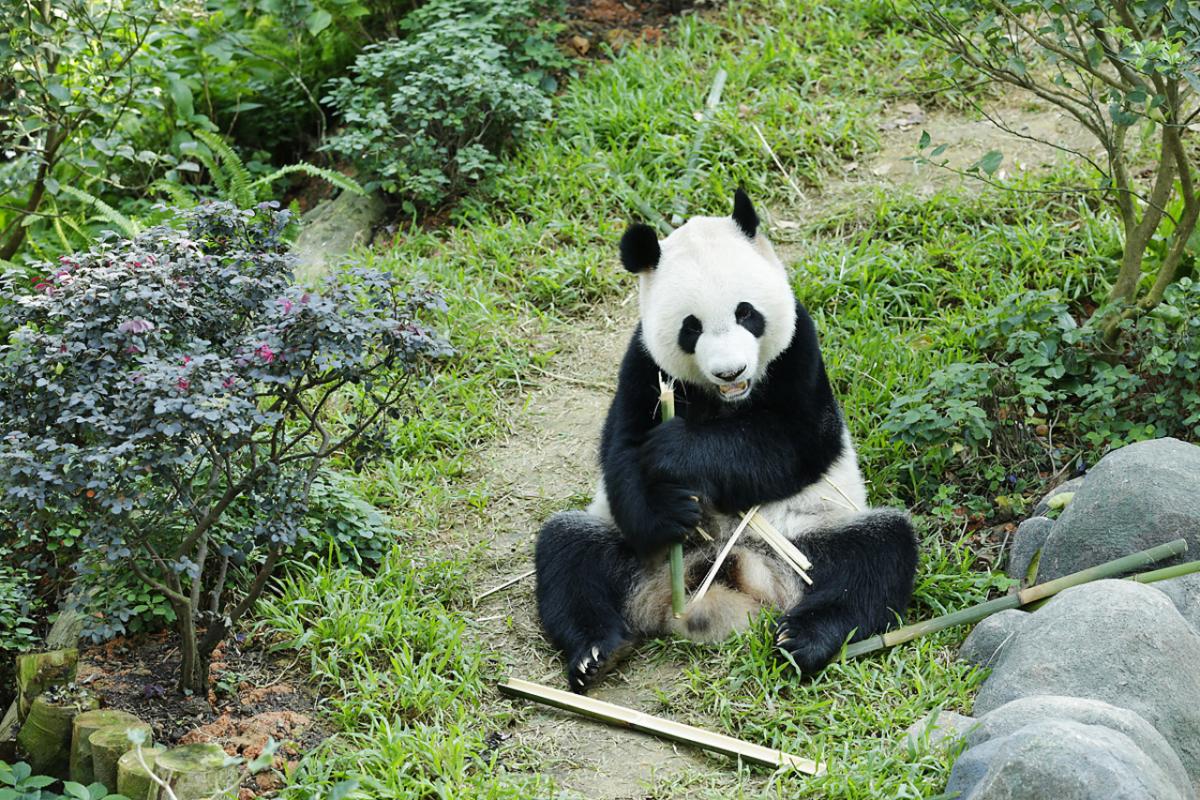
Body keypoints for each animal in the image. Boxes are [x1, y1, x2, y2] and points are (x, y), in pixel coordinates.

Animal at [535, 189, 918, 693]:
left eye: (746, 312)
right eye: (691, 326)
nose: (730, 371)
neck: (726, 402)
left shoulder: (800, 353)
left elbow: (793, 444)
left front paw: (679, 451)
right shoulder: (642, 366)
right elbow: (623, 456)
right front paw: (669, 506)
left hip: (807, 544)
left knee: (877, 558)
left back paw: (801, 641)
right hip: (633, 554)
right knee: (568, 554)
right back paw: (596, 652)